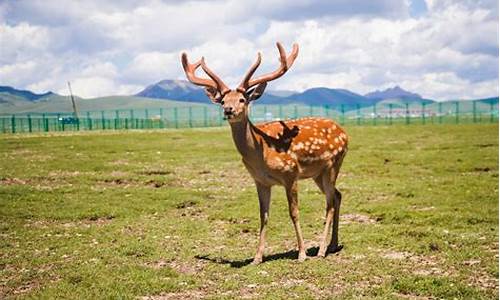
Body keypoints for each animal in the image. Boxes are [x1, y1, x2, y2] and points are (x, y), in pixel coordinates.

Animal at [180, 42, 348, 264]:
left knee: (329, 202)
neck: (261, 154)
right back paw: (333, 244)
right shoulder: (260, 181)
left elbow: (294, 212)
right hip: (317, 174)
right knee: (337, 195)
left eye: (242, 99)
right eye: (223, 100)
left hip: (334, 164)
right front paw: (257, 257)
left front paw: (302, 254)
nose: (228, 110)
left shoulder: (291, 173)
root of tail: (345, 133)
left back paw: (320, 250)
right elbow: (264, 215)